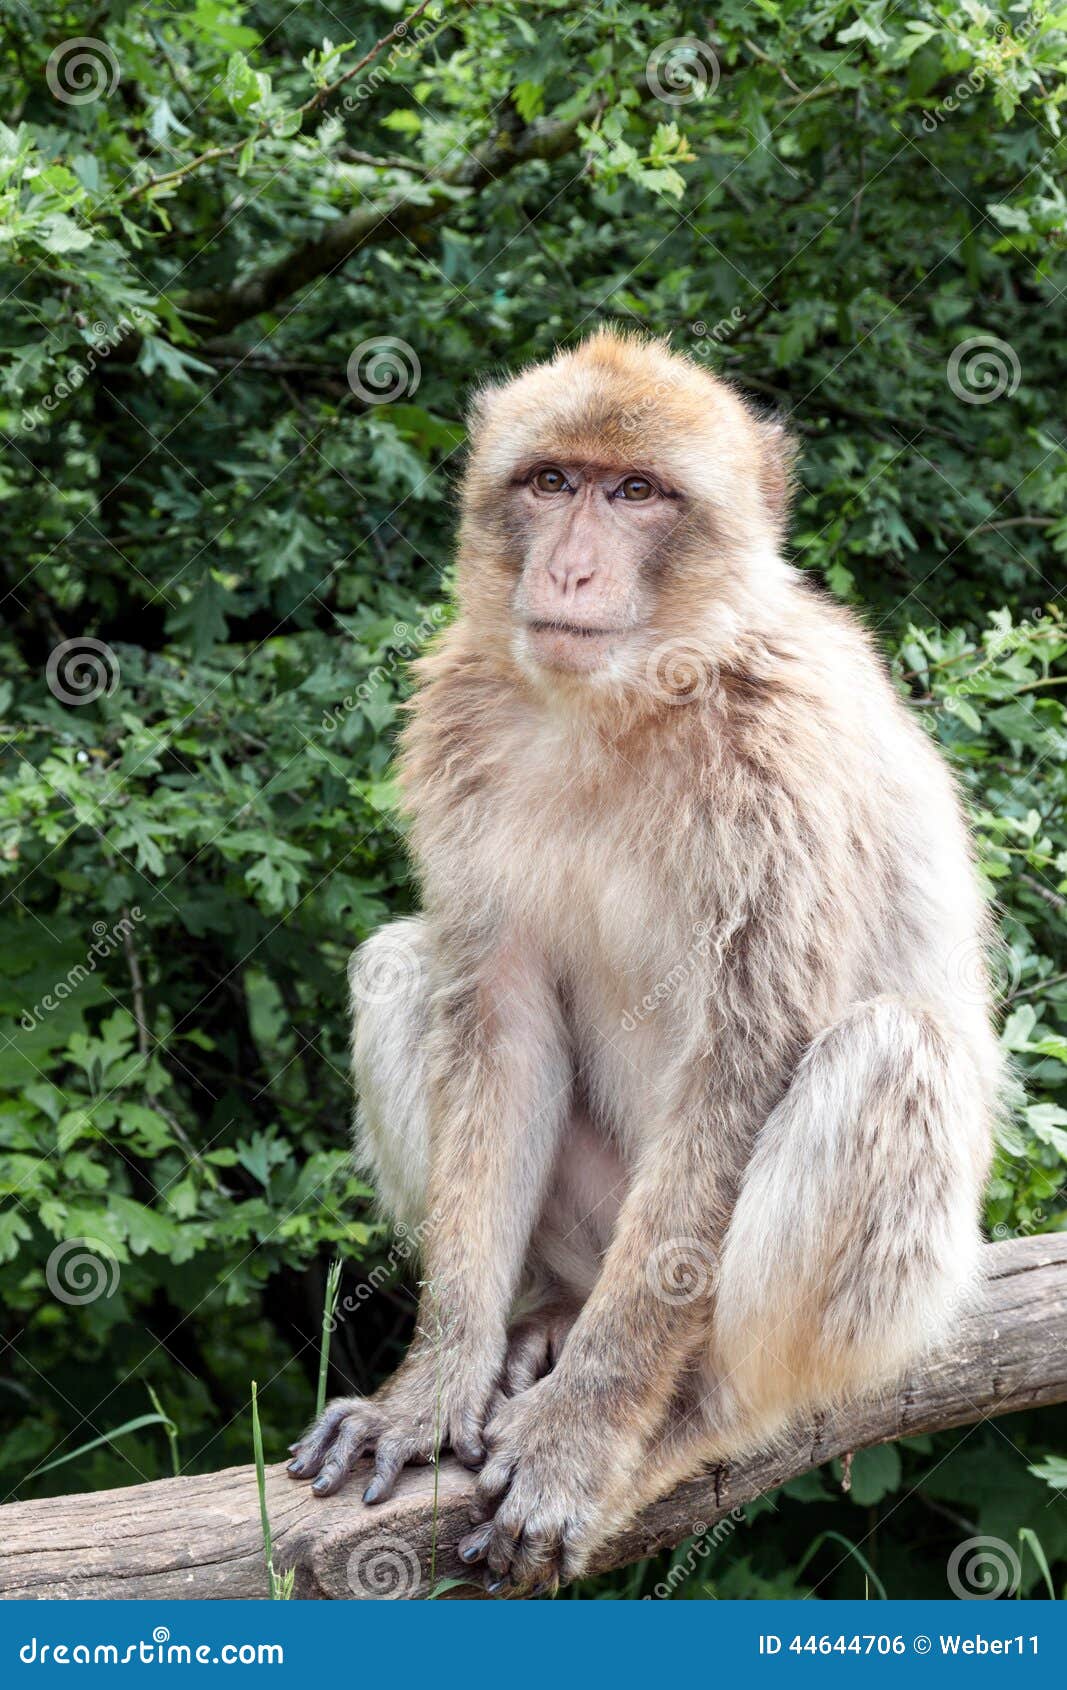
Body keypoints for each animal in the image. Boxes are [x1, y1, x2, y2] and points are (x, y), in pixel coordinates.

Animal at [287, 327, 1000, 1595]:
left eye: (634, 493)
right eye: (550, 482)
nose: (568, 571)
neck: (621, 704)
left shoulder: (782, 762)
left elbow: (744, 1057)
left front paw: (584, 1439)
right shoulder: (462, 723)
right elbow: (493, 1006)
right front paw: (430, 1387)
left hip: (894, 1311)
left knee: (887, 1049)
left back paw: (686, 1414)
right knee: (402, 961)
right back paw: (541, 1319)